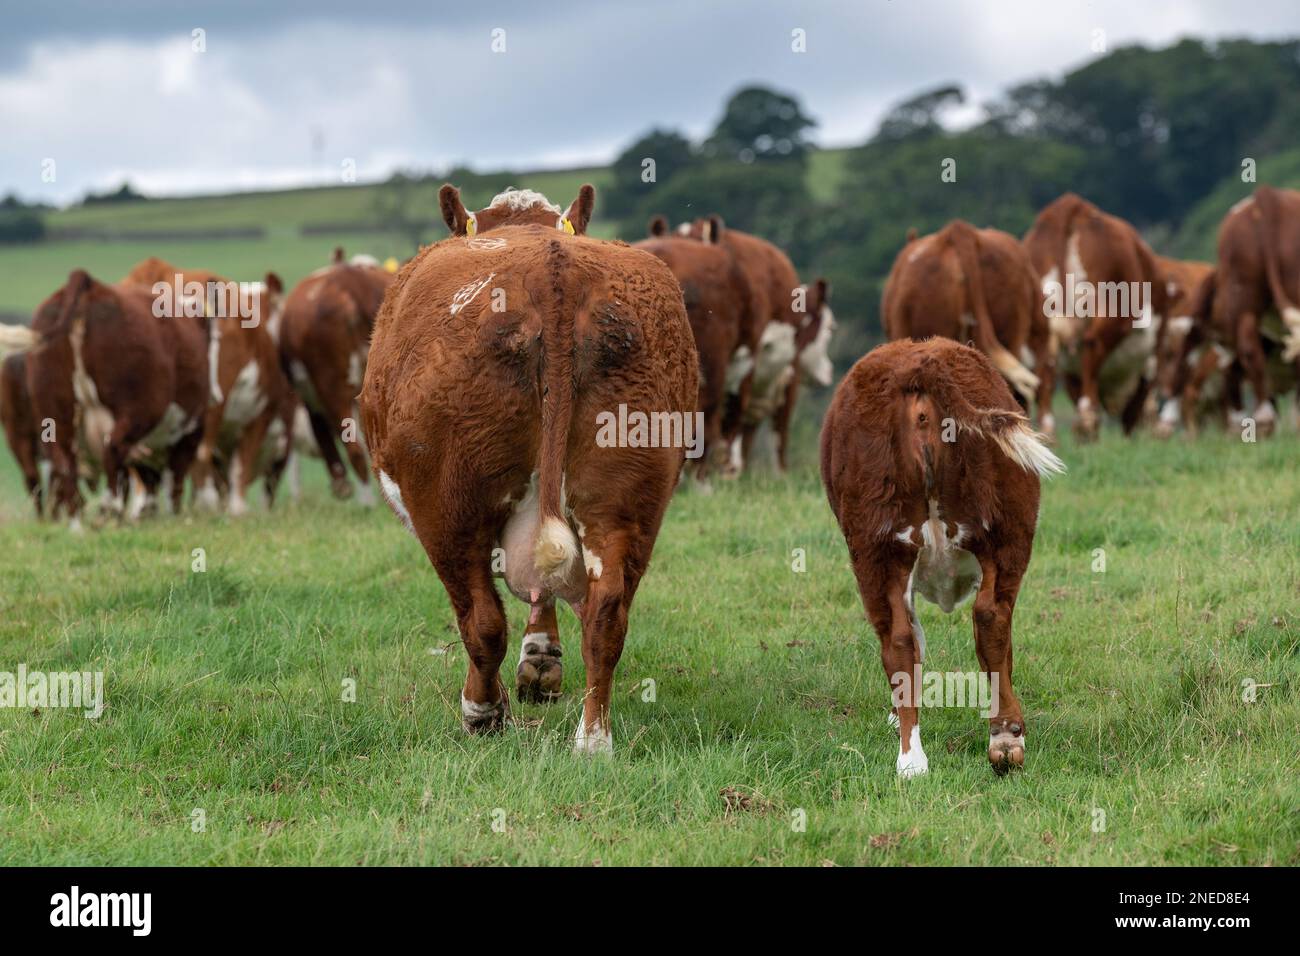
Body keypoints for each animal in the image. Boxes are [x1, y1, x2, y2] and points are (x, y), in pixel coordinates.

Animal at [20, 270, 209, 527]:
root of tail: (89, 283)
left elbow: (150, 478)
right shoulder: (190, 432)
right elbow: (173, 480)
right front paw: (170, 516)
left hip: (55, 412)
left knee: (65, 462)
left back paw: (78, 524)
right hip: (137, 410)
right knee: (113, 449)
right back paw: (110, 510)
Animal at [279, 248, 394, 501]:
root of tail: (352, 282)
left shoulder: (310, 397)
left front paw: (341, 485)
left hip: (331, 385)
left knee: (355, 450)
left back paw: (366, 503)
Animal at [360, 184, 698, 753]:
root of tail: (552, 267)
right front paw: (541, 659)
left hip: (448, 504)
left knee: (482, 619)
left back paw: (482, 712)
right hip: (627, 489)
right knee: (607, 611)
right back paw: (592, 740)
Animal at [821, 338, 1063, 777]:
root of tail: (921, 363)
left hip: (877, 547)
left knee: (902, 637)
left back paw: (912, 757)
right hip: (1003, 531)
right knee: (988, 618)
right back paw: (999, 738)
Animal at [1023, 193, 1167, 439]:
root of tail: (1073, 205)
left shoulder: (1070, 371)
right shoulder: (1149, 365)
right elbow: (1133, 409)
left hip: (1042, 321)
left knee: (1046, 367)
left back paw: (1048, 431)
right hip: (1112, 311)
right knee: (1093, 347)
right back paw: (1087, 423)